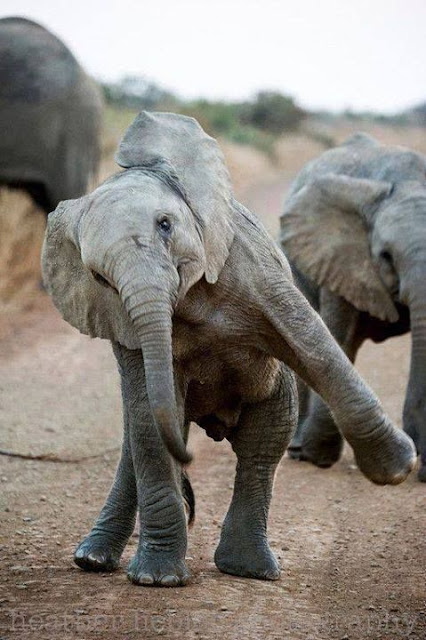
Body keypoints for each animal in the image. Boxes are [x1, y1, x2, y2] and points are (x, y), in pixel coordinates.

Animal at [280, 132, 426, 482]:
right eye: (385, 255)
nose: (417, 460)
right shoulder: (337, 256)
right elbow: (336, 335)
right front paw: (317, 456)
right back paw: (298, 450)